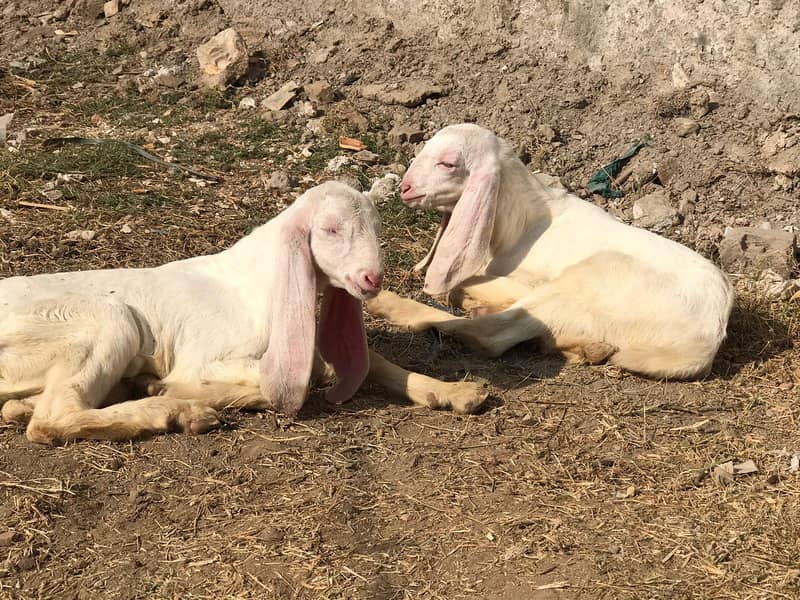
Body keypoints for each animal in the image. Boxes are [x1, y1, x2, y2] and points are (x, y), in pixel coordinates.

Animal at [0, 181, 486, 444]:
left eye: (379, 228)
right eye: (330, 230)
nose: (372, 279)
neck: (260, 284)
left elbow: (367, 363)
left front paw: (457, 392)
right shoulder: (206, 356)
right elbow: (297, 379)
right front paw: (170, 389)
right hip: (100, 323)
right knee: (53, 418)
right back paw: (176, 409)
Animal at [367, 124, 734, 379]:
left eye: (447, 163)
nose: (405, 188)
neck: (523, 223)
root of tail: (705, 340)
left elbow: (462, 285)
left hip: (592, 279)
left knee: (491, 333)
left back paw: (393, 305)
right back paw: (588, 347)